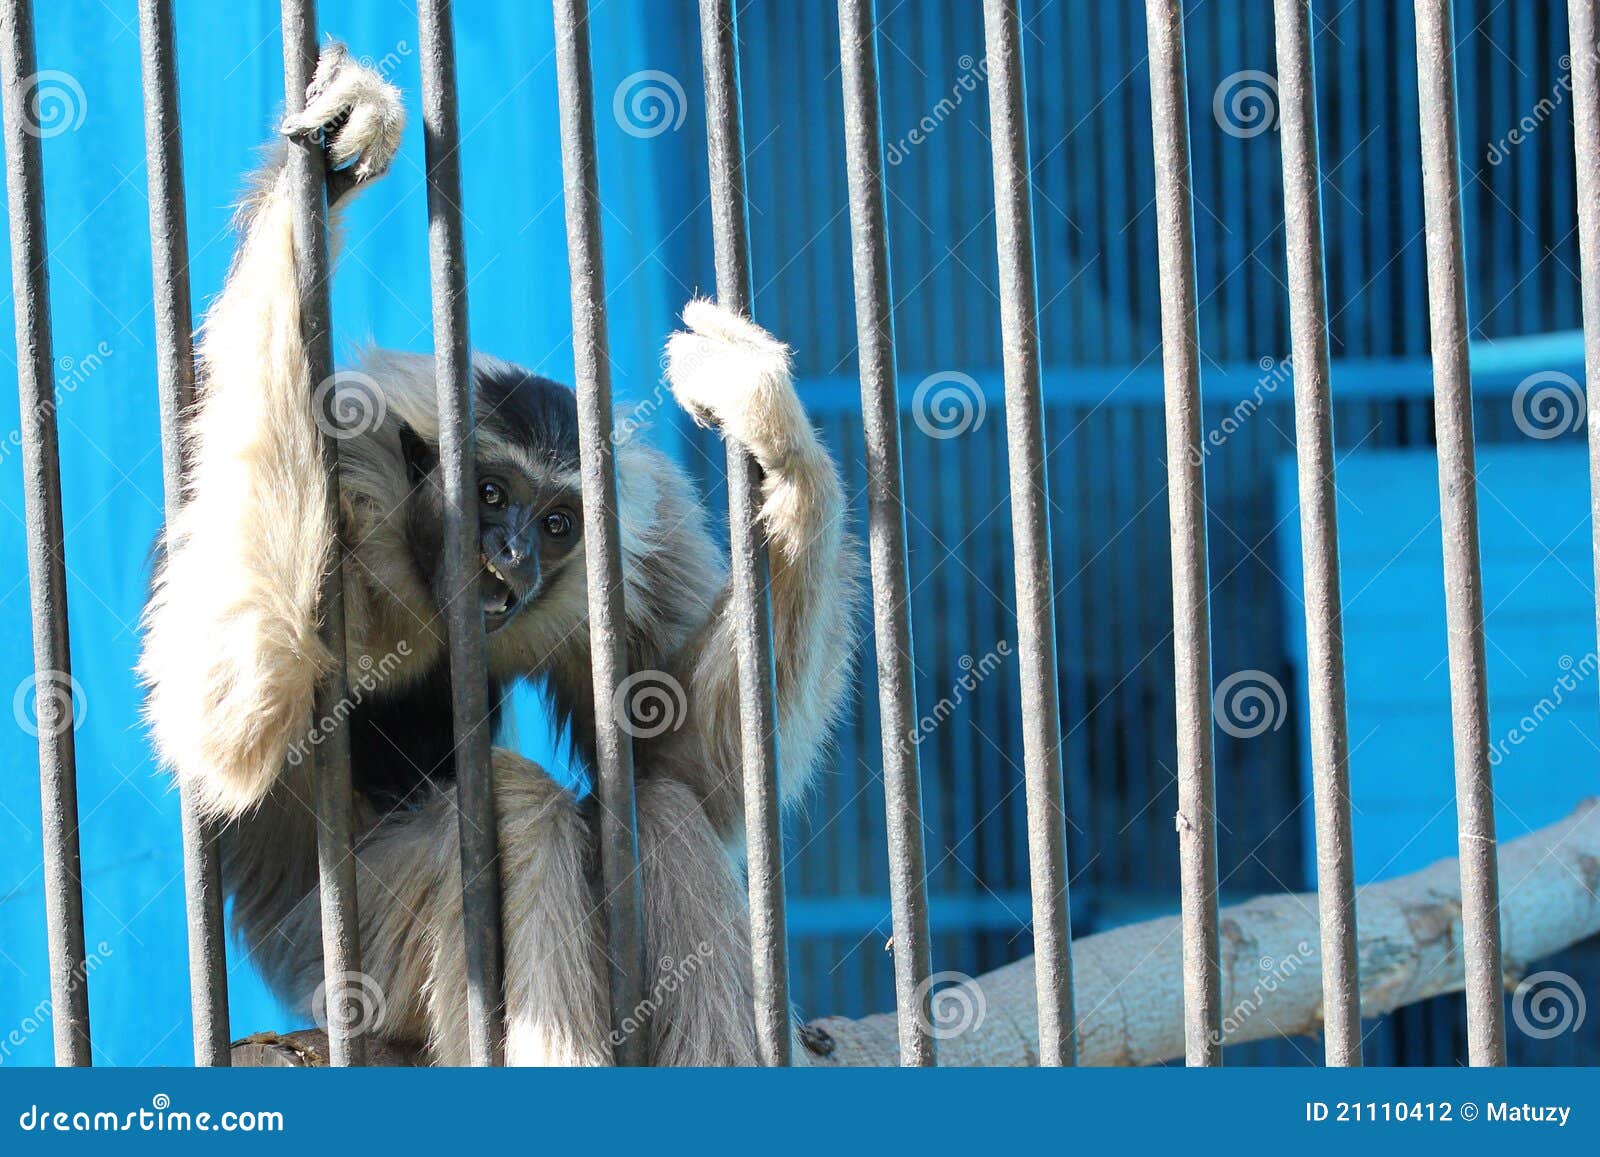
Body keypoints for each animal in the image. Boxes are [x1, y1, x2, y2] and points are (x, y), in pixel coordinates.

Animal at [138, 44, 859, 1065]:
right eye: (488, 495)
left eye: (558, 522)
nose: (514, 550)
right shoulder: (348, 476)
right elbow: (234, 711)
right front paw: (325, 169)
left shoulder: (639, 535)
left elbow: (692, 767)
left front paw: (779, 434)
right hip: (342, 961)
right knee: (518, 811)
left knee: (654, 806)